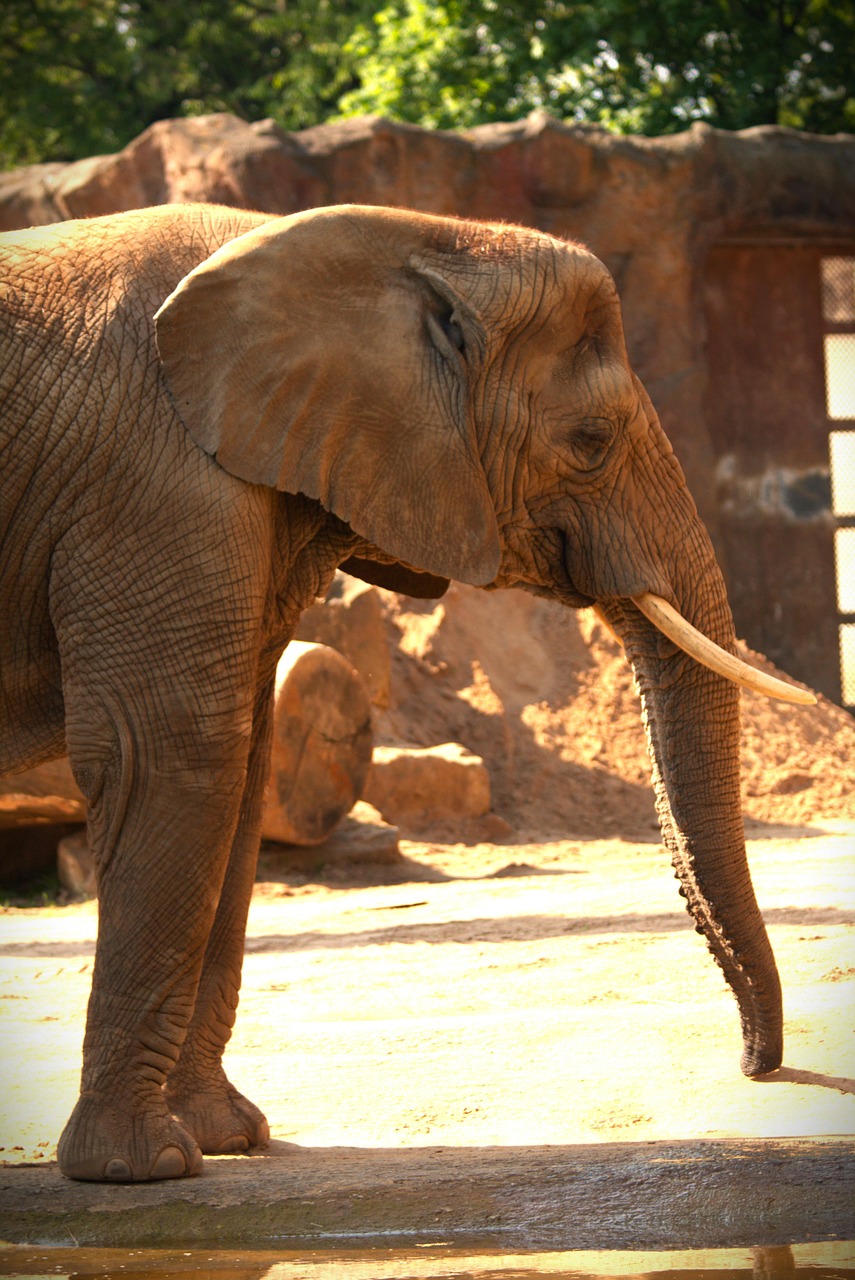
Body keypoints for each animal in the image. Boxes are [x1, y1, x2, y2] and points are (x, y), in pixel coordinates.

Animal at [0, 202, 812, 1183]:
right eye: (589, 442)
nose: (757, 1068)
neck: (409, 240)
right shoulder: (155, 486)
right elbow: (168, 754)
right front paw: (143, 1169)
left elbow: (244, 770)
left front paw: (230, 1138)